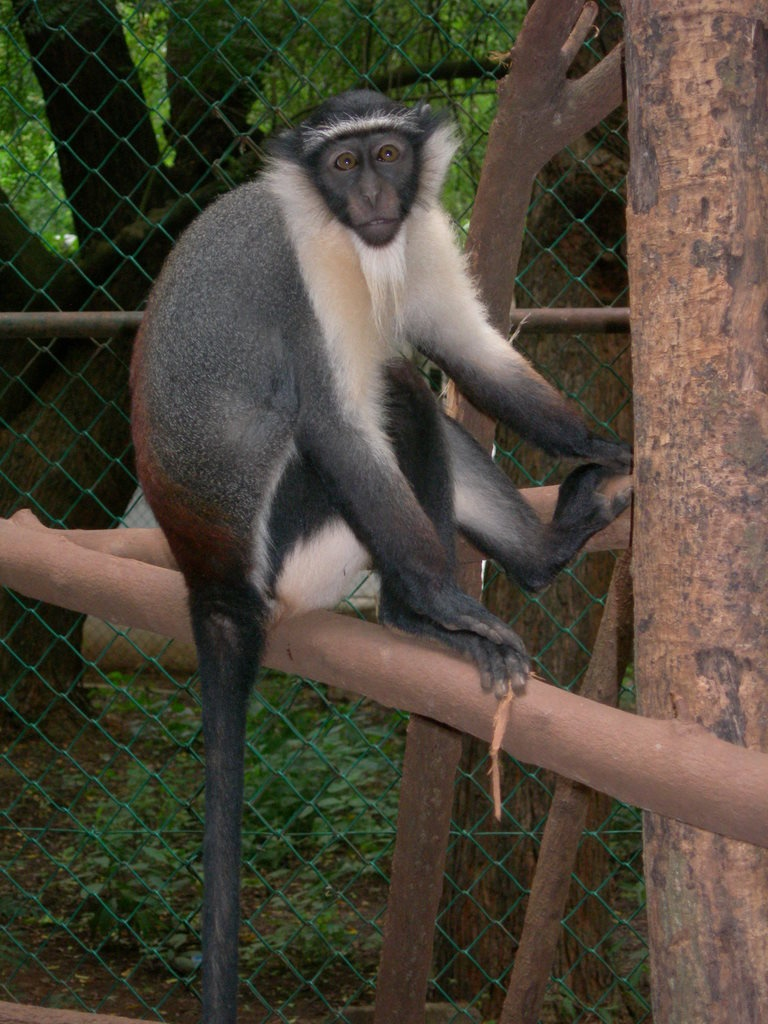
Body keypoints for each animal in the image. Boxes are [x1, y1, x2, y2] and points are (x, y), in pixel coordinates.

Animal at [130, 90, 631, 1021]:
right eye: (343, 163)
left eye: (388, 154)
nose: (369, 198)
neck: (362, 243)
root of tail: (212, 574)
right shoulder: (309, 276)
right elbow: (338, 422)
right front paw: (441, 606)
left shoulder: (422, 229)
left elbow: (472, 352)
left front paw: (609, 446)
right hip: (298, 545)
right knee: (396, 396)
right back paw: (415, 614)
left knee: (411, 388)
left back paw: (544, 552)